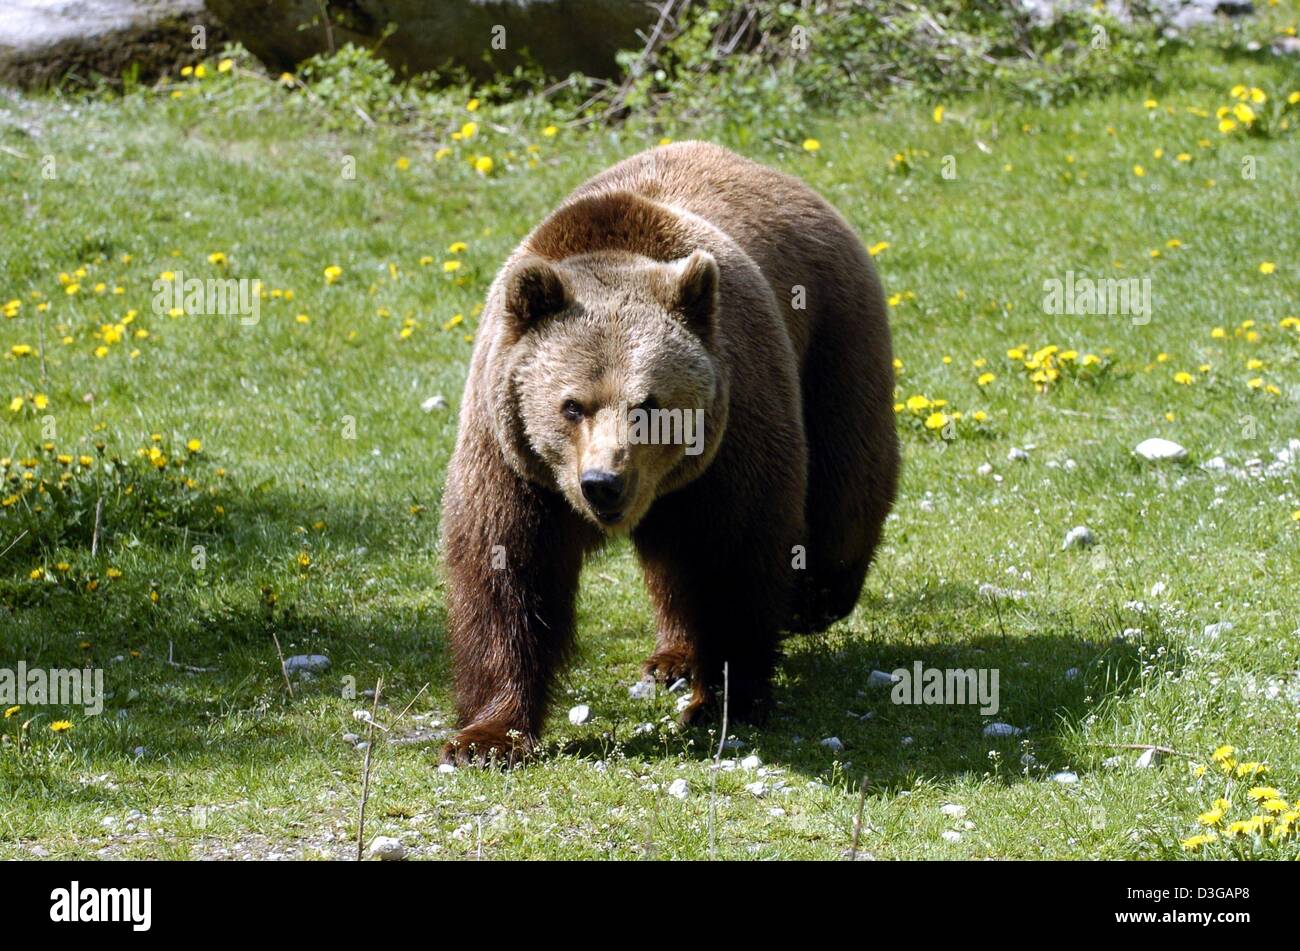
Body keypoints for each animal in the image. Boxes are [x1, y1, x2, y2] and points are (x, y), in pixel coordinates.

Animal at [440, 141, 898, 765]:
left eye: (648, 405)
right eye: (571, 406)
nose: (603, 482)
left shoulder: (734, 437)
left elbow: (735, 557)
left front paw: (725, 701)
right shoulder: (514, 459)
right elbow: (507, 572)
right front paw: (485, 737)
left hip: (835, 338)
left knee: (844, 487)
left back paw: (812, 599)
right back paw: (672, 656)